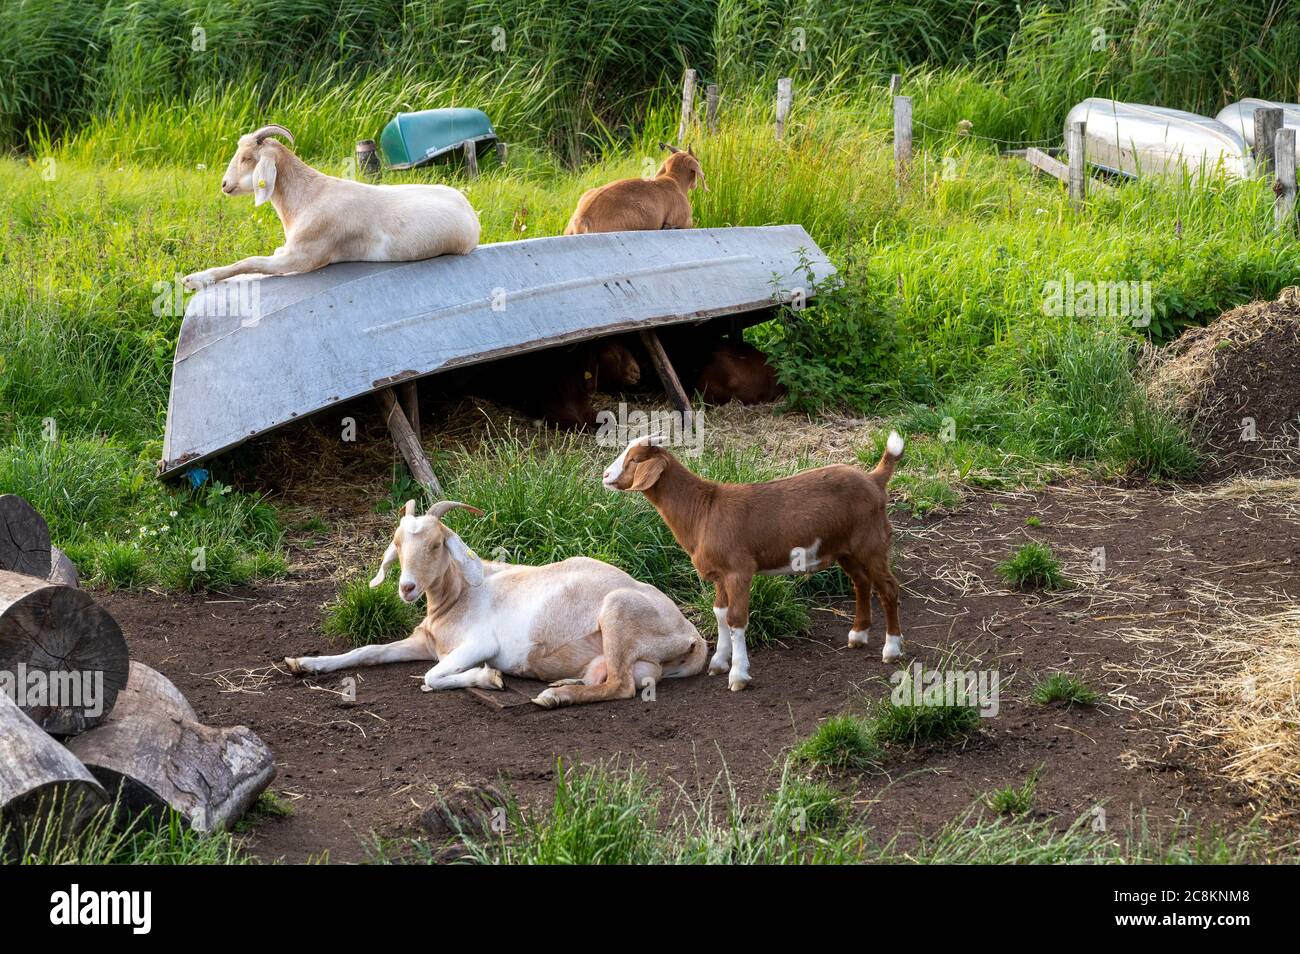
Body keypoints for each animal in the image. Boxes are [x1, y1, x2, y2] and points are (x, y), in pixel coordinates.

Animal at [183, 125, 479, 289]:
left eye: (246, 158)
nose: (225, 184)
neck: (309, 197)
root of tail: (469, 210)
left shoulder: (302, 257)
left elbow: (250, 261)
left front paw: (194, 279)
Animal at [284, 500, 707, 707]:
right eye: (398, 545)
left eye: (436, 544)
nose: (406, 588)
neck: (460, 596)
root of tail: (691, 634)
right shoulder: (424, 642)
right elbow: (367, 650)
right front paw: (303, 663)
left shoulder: (479, 643)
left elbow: (432, 677)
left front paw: (488, 678)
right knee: (612, 678)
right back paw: (562, 683)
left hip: (618, 611)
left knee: (621, 686)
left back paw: (554, 696)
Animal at [602, 432, 906, 691]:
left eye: (634, 460)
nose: (605, 475)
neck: (703, 511)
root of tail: (874, 479)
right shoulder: (720, 575)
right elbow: (720, 613)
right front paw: (718, 662)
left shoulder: (738, 571)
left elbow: (736, 620)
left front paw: (738, 675)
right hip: (845, 549)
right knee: (862, 582)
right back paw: (858, 635)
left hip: (871, 542)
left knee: (888, 588)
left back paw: (891, 650)